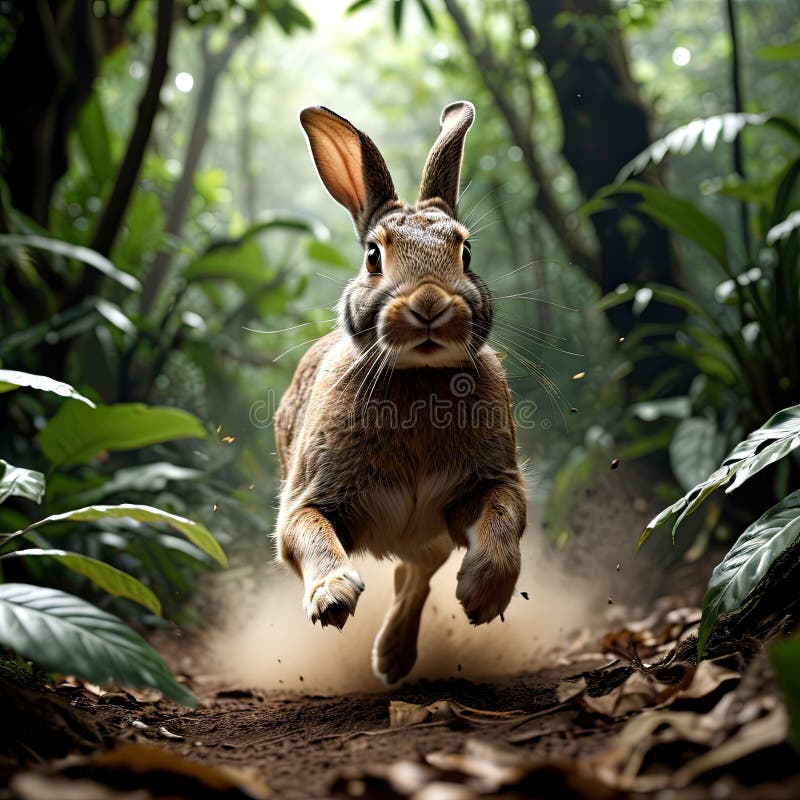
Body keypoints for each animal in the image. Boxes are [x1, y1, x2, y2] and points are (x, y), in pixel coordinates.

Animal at [274, 101, 526, 684]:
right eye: (373, 256)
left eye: (466, 252)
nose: (429, 303)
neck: (417, 373)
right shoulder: (308, 499)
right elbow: (308, 531)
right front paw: (332, 599)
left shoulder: (485, 485)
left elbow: (504, 521)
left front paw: (482, 596)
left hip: (429, 538)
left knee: (415, 577)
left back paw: (392, 659)